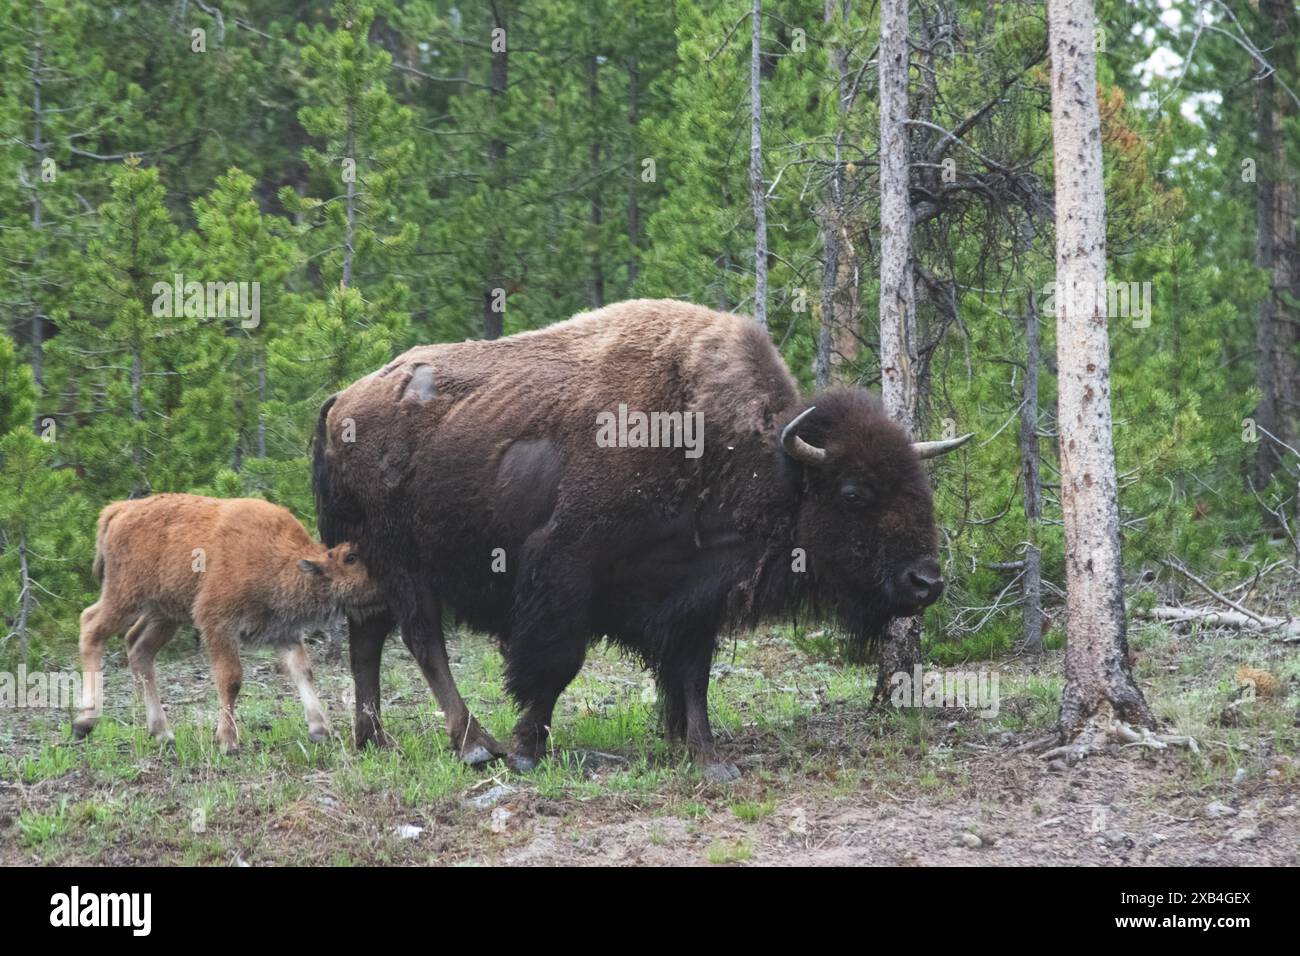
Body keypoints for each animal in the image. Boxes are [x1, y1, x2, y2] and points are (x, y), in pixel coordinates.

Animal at [72, 494, 383, 754]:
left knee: (139, 648)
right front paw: (228, 742)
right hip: (125, 596)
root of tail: (119, 510)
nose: (383, 587)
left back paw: (162, 733)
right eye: (351, 558)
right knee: (91, 626)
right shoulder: (218, 624)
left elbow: (303, 670)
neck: (281, 557)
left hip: (164, 614)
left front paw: (320, 729)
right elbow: (231, 679)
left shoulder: (284, 632)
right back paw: (85, 722)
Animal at [313, 299, 969, 780]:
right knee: (422, 640)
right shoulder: (565, 571)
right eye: (854, 493)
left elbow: (694, 677)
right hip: (403, 562)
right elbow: (557, 664)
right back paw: (476, 745)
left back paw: (375, 740)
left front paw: (710, 759)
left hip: (369, 564)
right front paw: (527, 751)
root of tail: (341, 400)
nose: (925, 582)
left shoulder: (695, 599)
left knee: (367, 638)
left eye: (918, 486)